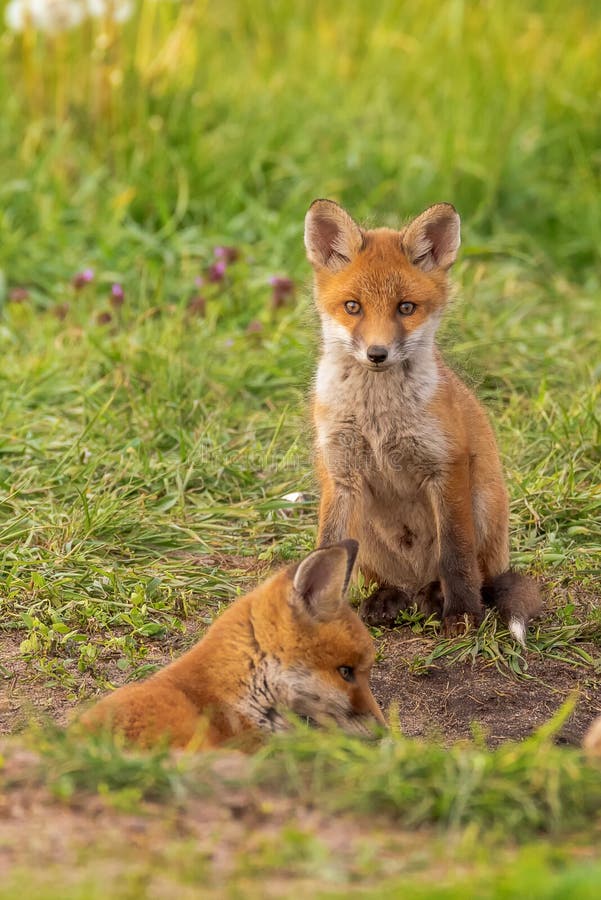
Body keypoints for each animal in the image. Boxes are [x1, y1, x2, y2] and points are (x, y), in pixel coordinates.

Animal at [305, 199, 541, 643]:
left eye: (406, 308)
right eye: (353, 307)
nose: (377, 353)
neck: (378, 418)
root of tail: (414, 582)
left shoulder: (445, 465)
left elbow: (455, 556)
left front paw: (462, 615)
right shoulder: (340, 474)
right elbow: (325, 549)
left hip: (482, 502)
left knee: (473, 573)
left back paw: (437, 597)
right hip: (365, 524)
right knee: (388, 581)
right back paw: (388, 598)